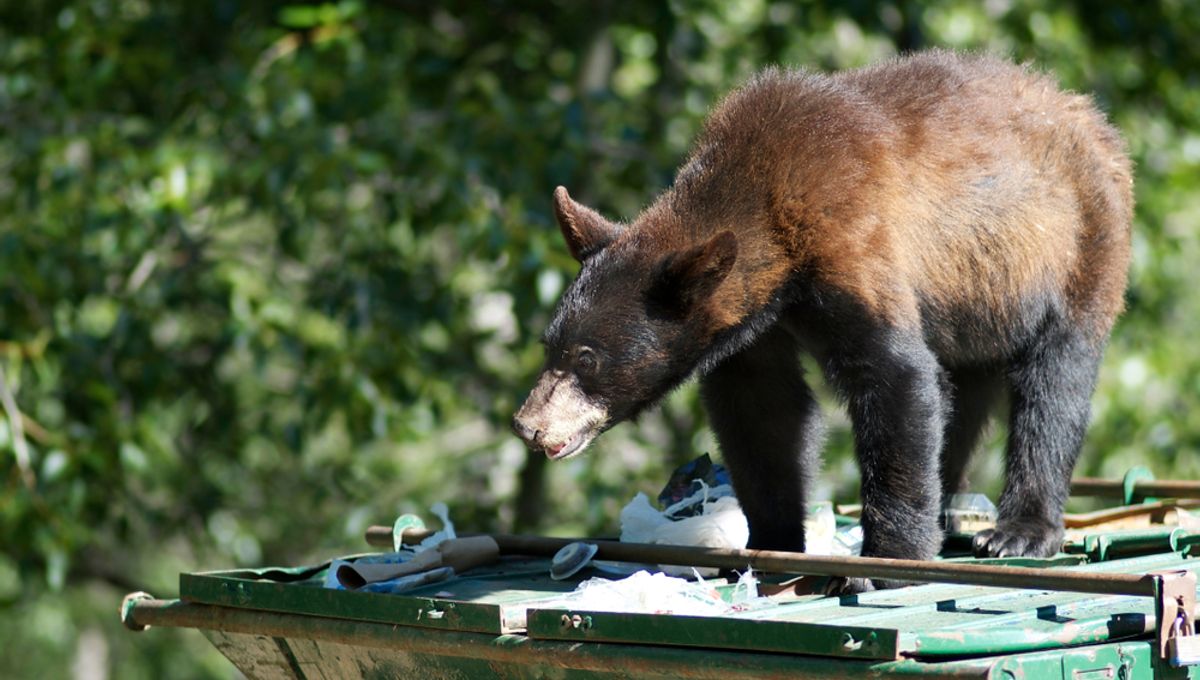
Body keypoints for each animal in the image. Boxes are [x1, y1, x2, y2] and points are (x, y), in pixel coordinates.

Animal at [512, 50, 1132, 592]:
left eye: (587, 358)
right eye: (549, 345)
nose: (528, 424)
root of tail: (1090, 114)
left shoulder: (851, 237)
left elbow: (895, 377)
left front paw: (884, 561)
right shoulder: (752, 324)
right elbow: (763, 411)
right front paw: (769, 543)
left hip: (1080, 245)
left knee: (1054, 384)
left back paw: (1020, 531)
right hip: (977, 300)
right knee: (962, 392)